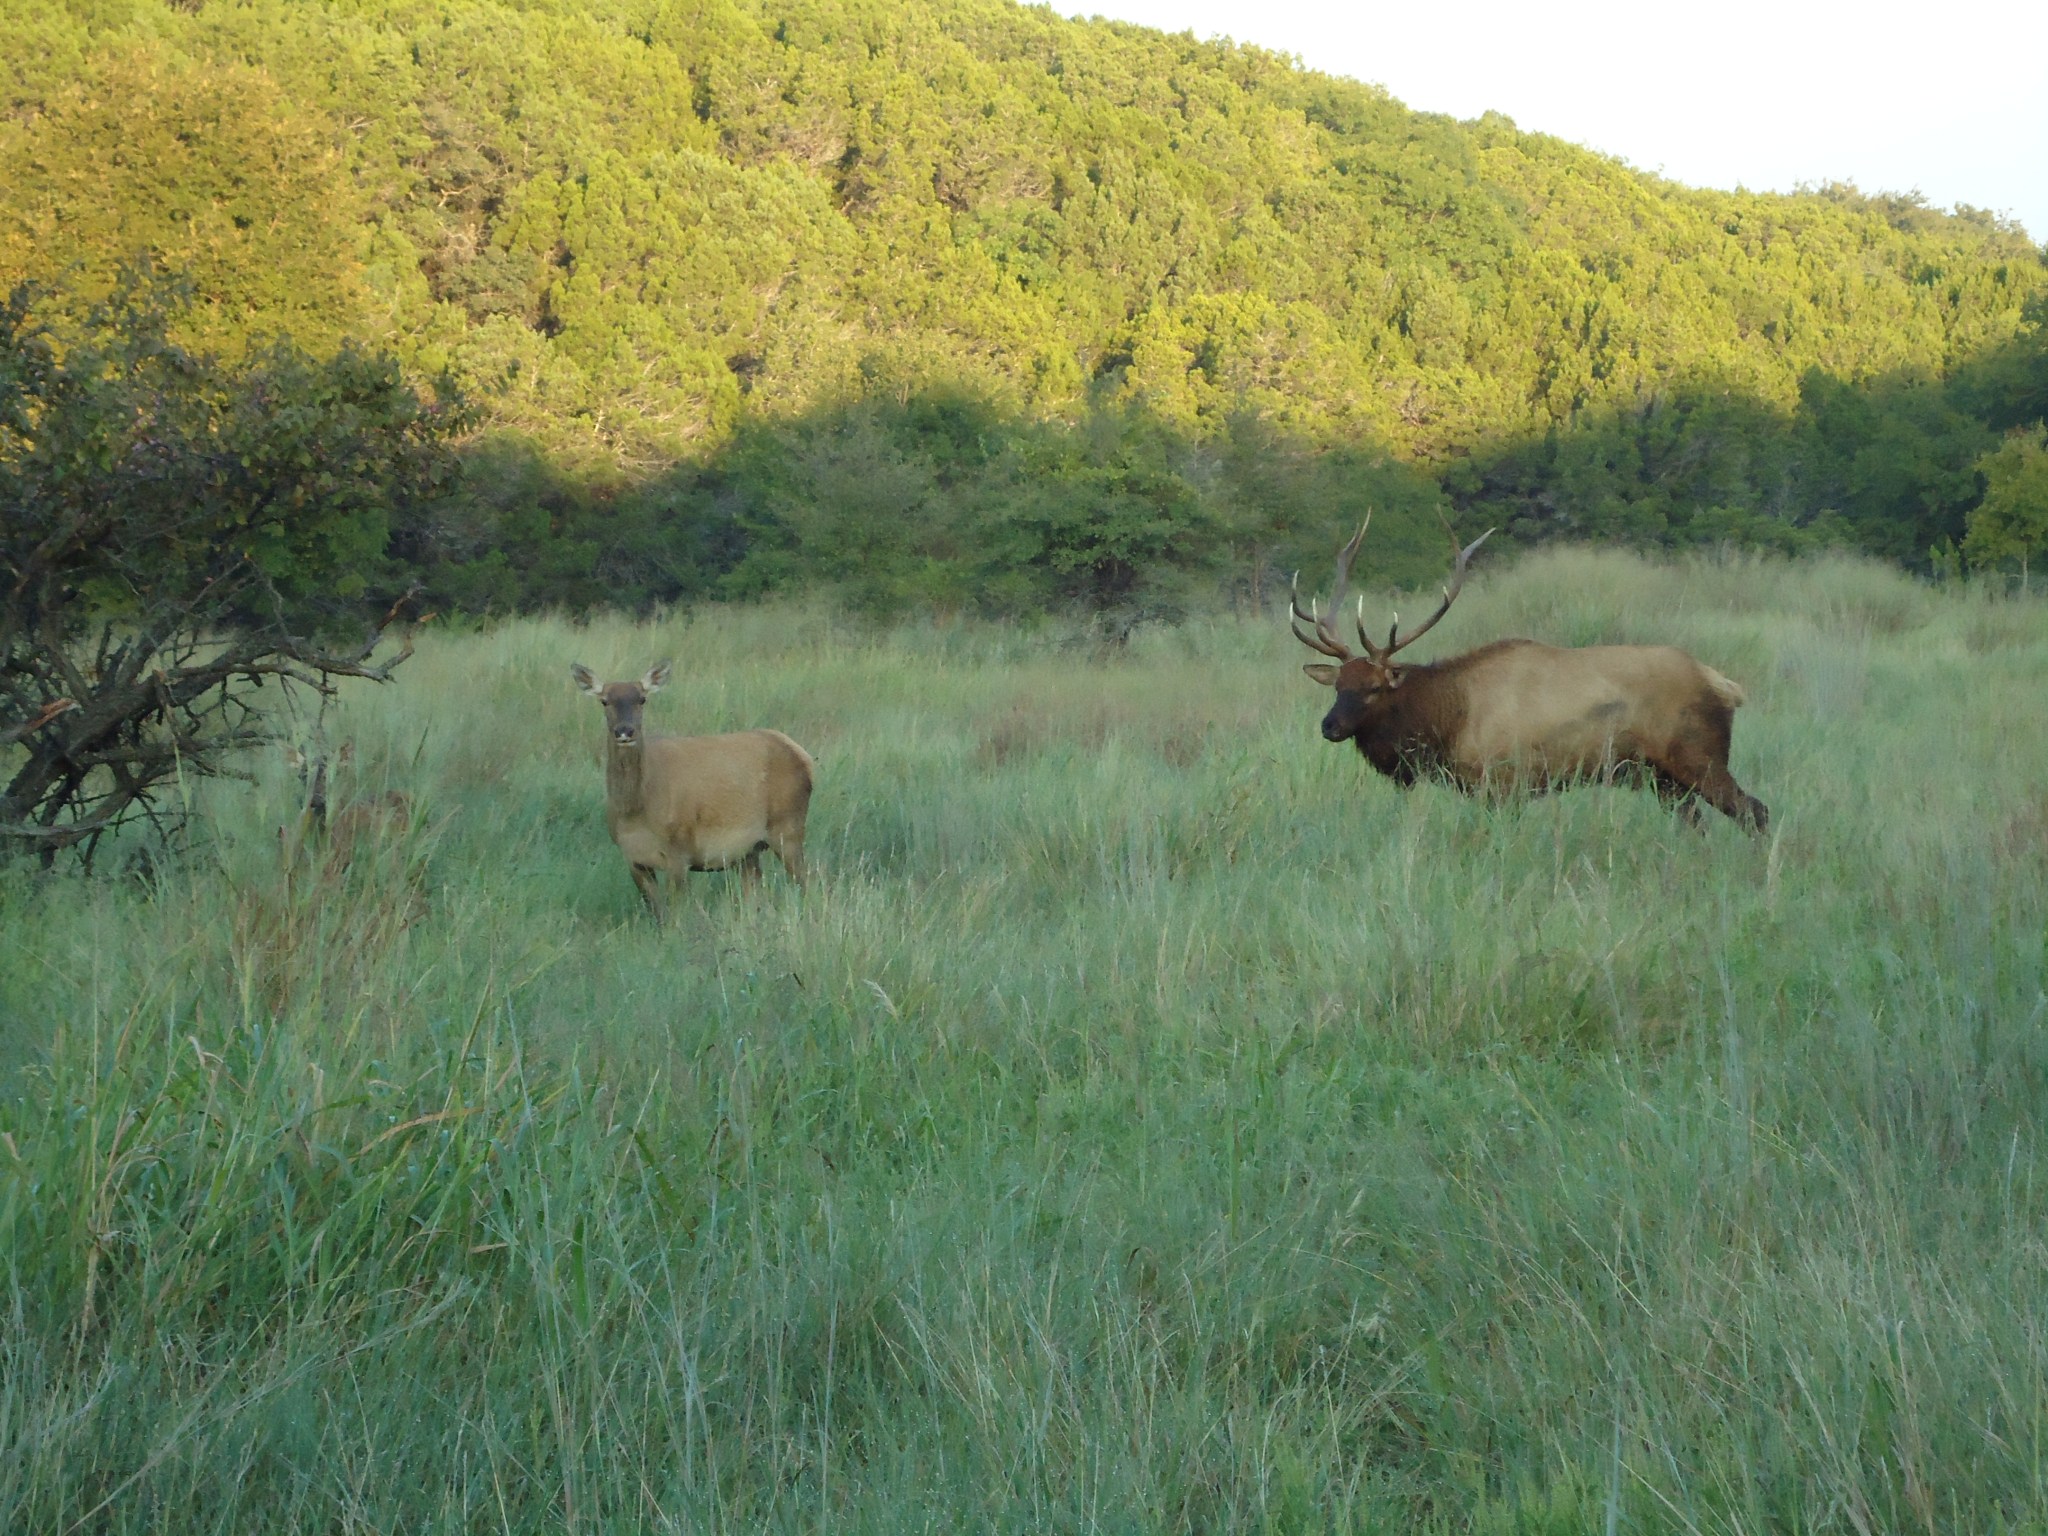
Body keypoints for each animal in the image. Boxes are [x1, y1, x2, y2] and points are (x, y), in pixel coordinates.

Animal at [570, 661, 814, 919]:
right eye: (604, 701)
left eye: (642, 699)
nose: (625, 731)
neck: (636, 811)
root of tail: (804, 757)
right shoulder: (633, 859)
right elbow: (657, 912)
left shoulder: (679, 851)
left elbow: (675, 914)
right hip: (749, 850)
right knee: (754, 892)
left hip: (788, 827)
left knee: (807, 880)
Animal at [1291, 517, 1768, 831]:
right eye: (1338, 685)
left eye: (1374, 688)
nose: (1329, 726)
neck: (1449, 722)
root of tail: (1726, 686)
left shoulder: (1503, 783)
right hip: (1662, 779)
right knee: (1698, 823)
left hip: (1700, 757)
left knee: (1755, 811)